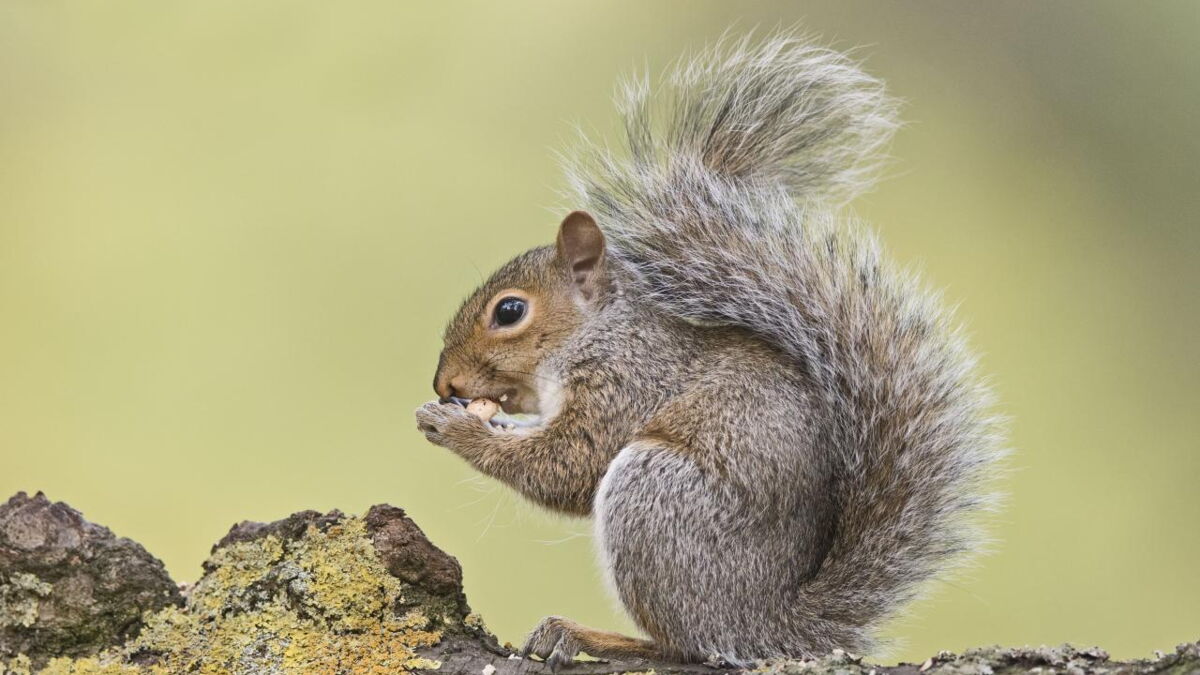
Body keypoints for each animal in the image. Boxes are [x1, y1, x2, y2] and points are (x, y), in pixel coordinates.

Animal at [416, 34, 1003, 667]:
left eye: (509, 312)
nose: (444, 385)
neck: (600, 333)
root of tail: (769, 625)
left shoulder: (630, 381)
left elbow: (569, 466)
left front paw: (457, 430)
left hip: (656, 498)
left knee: (683, 644)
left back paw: (589, 635)